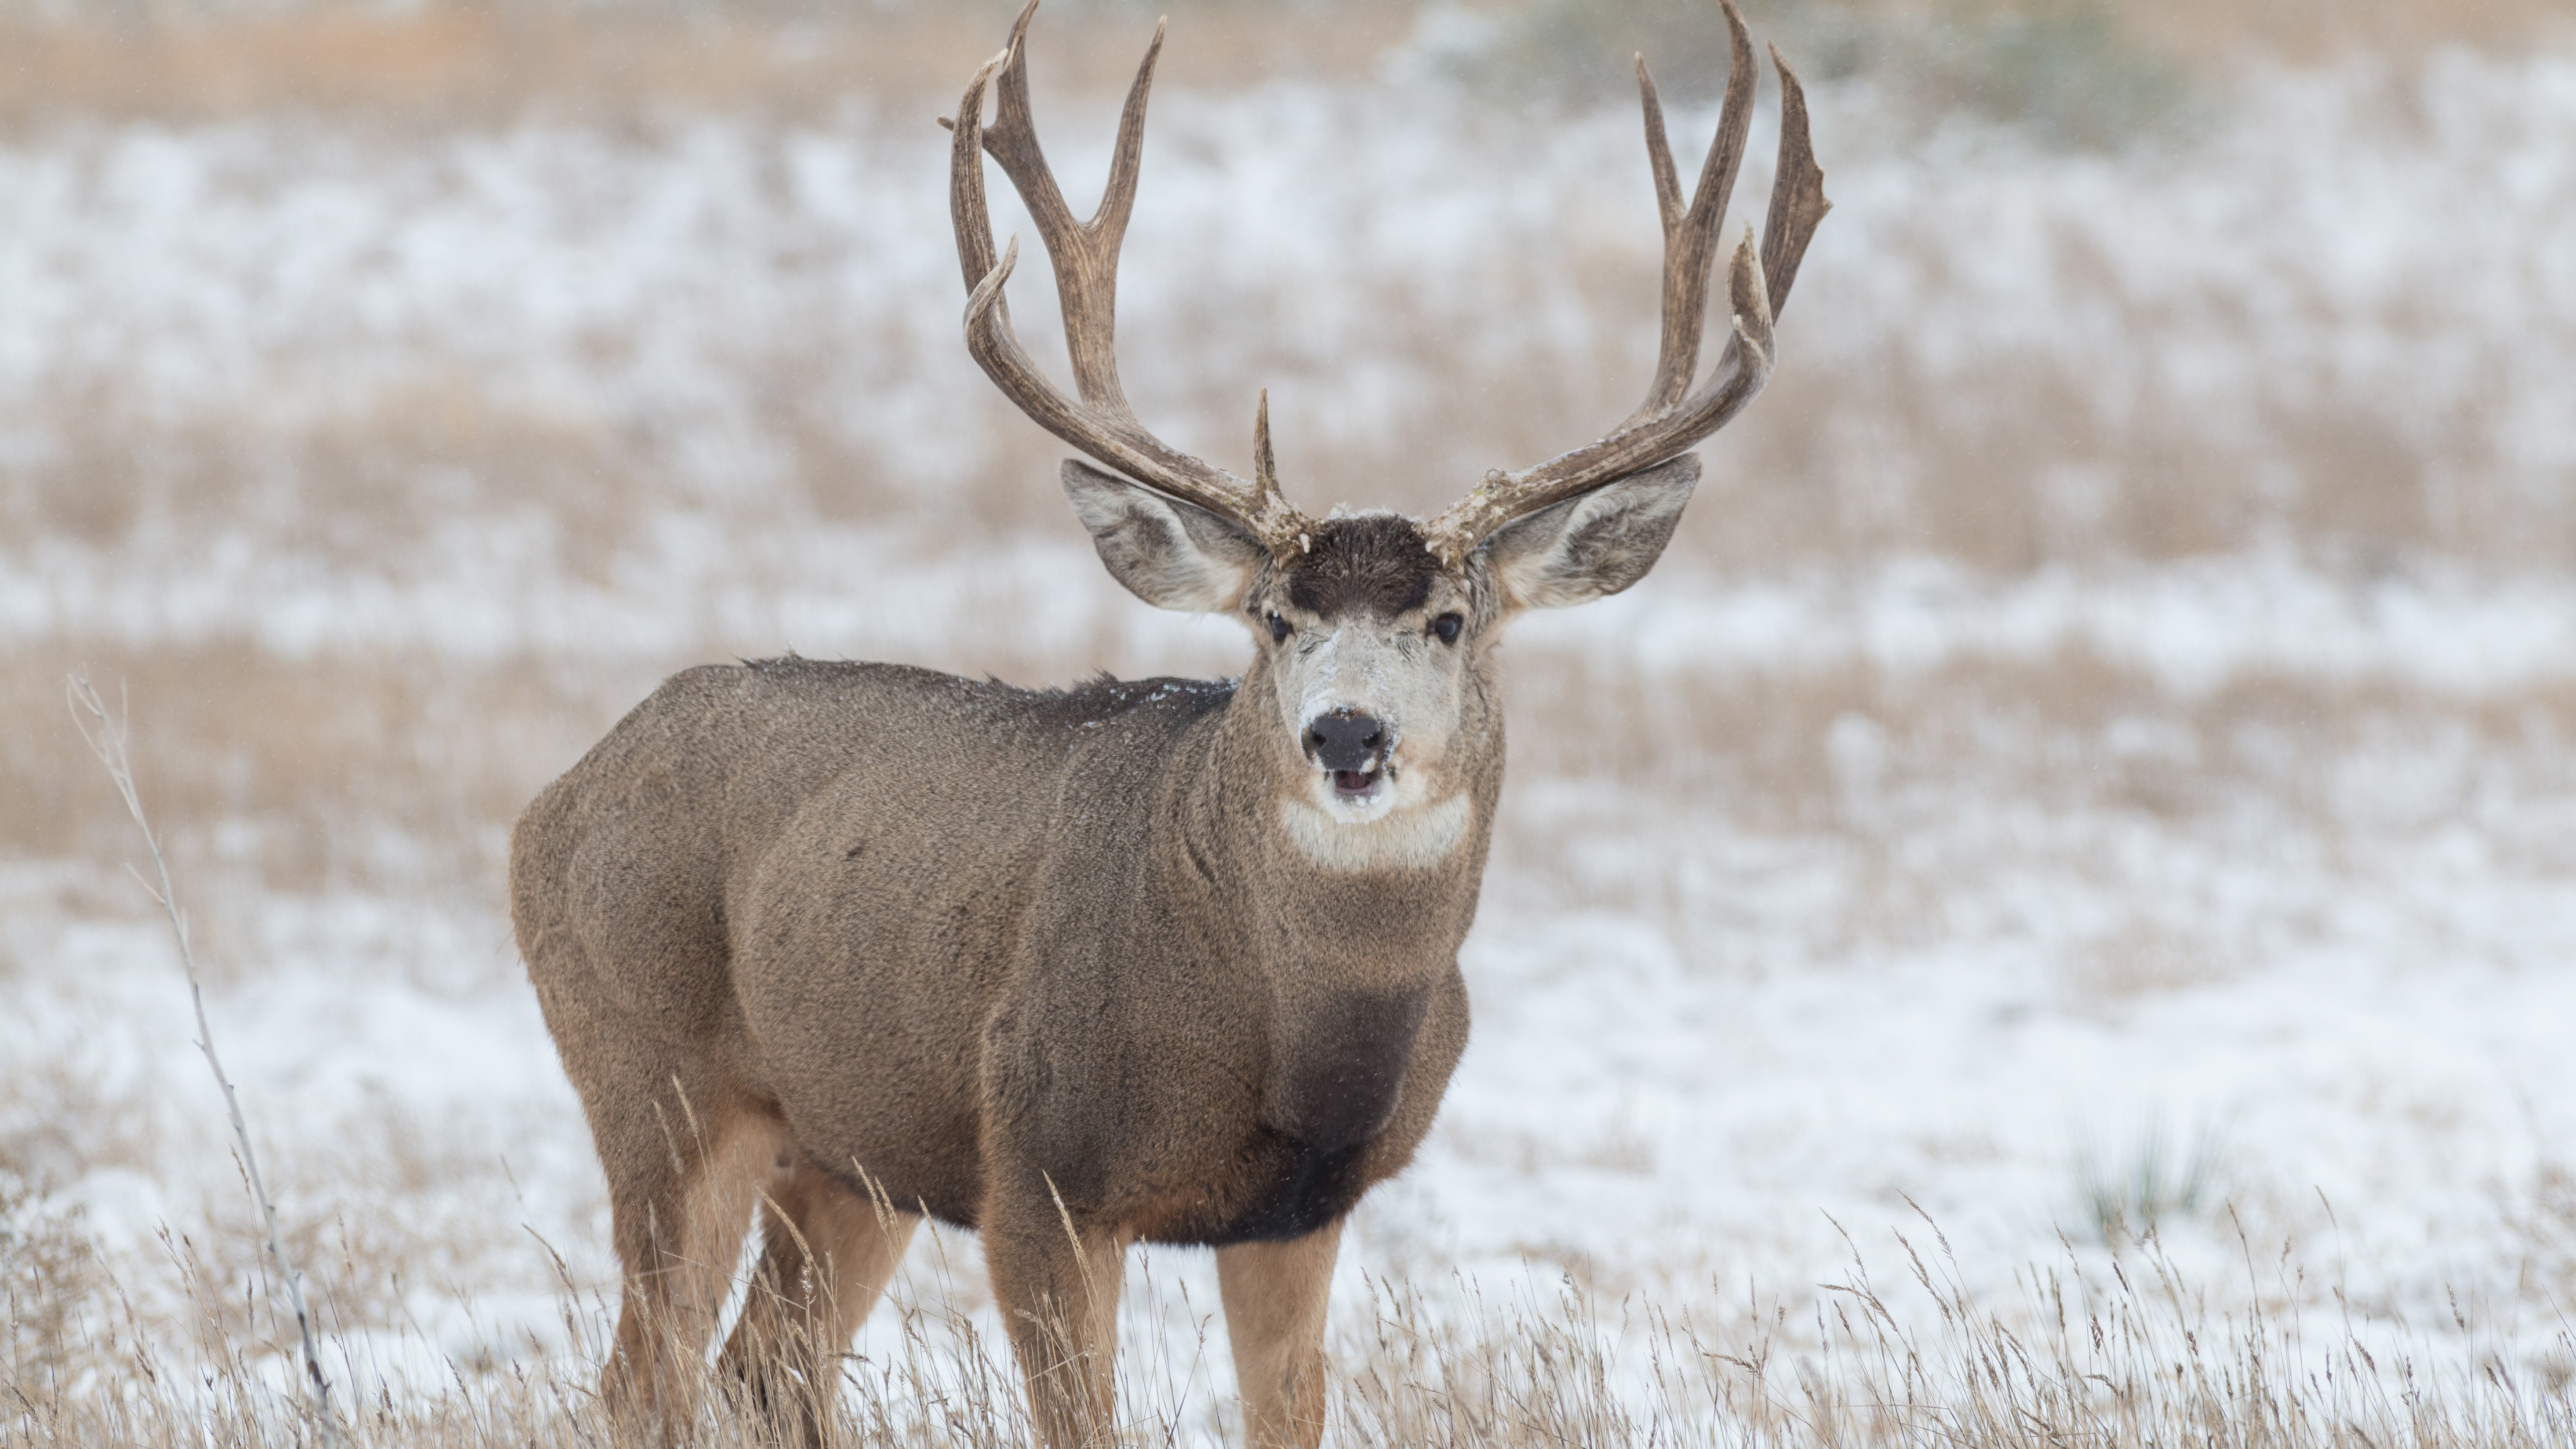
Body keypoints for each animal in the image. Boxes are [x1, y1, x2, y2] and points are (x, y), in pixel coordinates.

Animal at [507, 1, 1825, 1444]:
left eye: (1448, 620)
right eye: (1272, 619)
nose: (1346, 736)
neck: (1292, 1036)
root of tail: (554, 794)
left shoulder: (1300, 1208)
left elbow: (1288, 1413)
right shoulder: (1038, 1166)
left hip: (850, 1142)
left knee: (766, 1367)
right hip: (659, 1075)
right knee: (645, 1374)